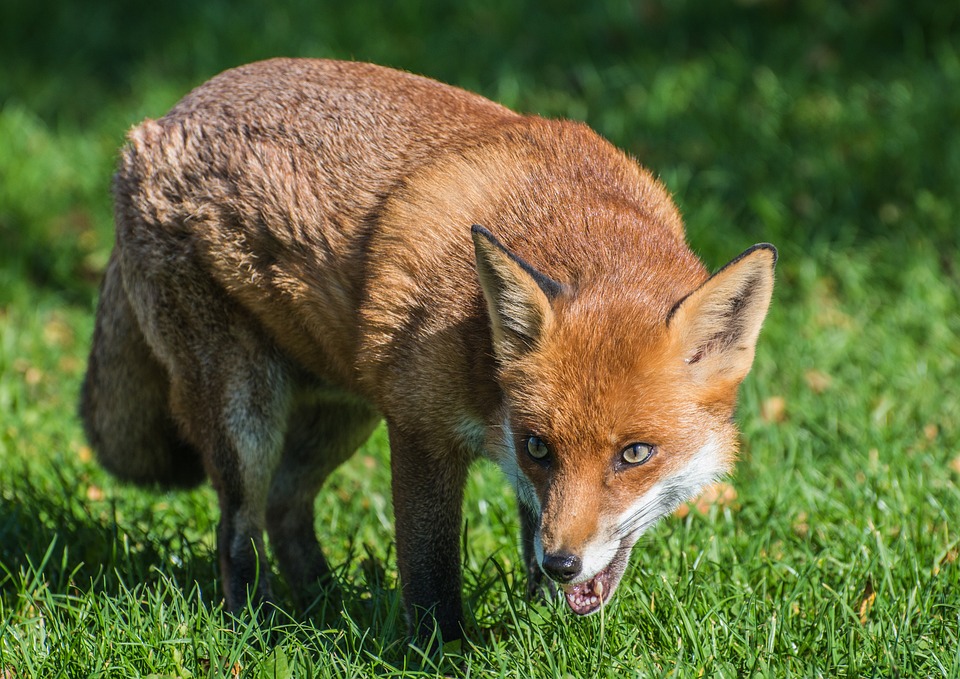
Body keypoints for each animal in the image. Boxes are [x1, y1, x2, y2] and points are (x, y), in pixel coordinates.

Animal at [80, 58, 776, 643]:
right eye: (540, 447)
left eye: (635, 454)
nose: (563, 563)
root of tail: (159, 119)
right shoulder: (419, 428)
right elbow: (430, 567)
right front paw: (442, 651)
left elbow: (527, 530)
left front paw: (544, 625)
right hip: (246, 412)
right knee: (238, 531)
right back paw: (260, 626)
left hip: (342, 414)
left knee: (285, 506)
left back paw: (325, 604)